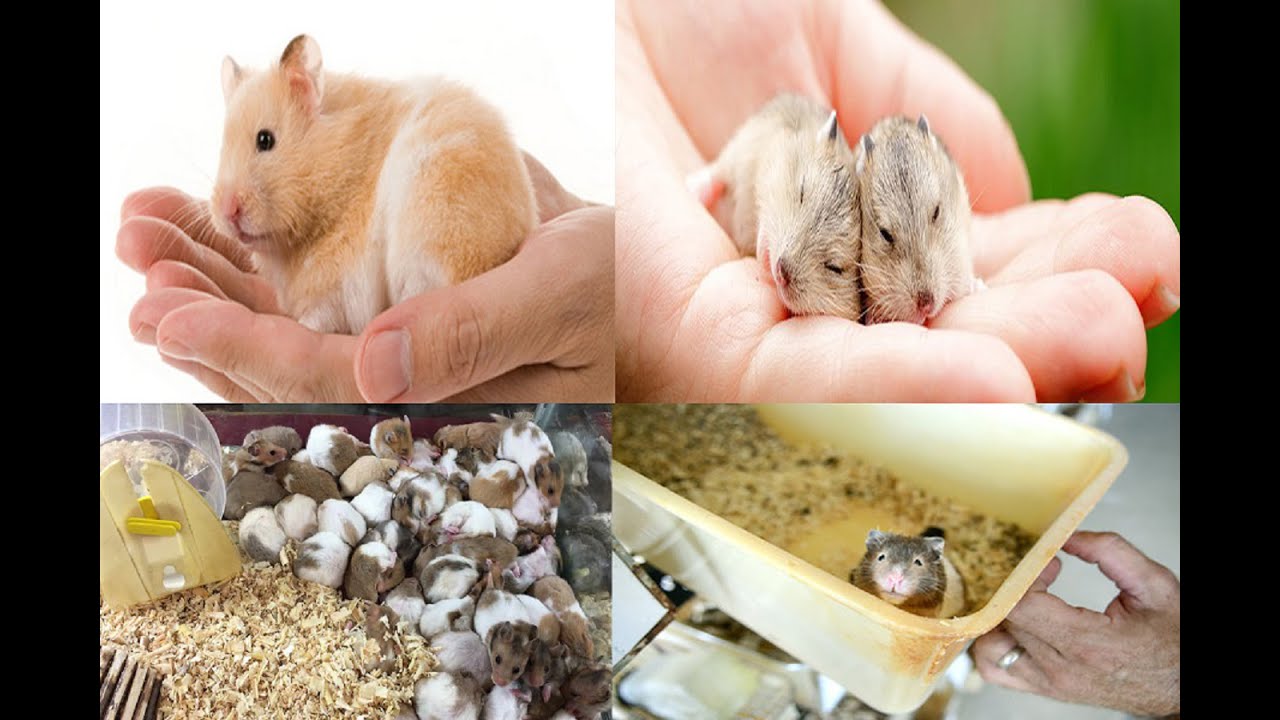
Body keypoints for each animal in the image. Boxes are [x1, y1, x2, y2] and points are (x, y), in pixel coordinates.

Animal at [211, 34, 536, 335]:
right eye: (221, 147)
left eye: (265, 140)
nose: (227, 211)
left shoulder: (338, 288)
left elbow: (320, 316)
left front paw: (301, 326)